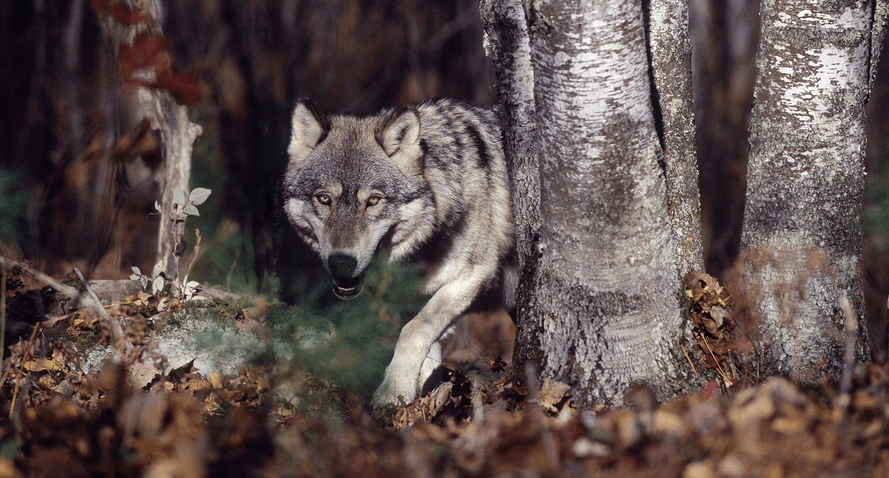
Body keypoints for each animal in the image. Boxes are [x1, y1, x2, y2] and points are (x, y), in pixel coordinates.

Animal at [282, 98, 517, 405]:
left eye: (373, 201)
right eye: (324, 198)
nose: (342, 262)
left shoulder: (477, 273)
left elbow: (414, 330)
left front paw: (393, 391)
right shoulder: (412, 296)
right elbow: (428, 346)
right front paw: (425, 399)